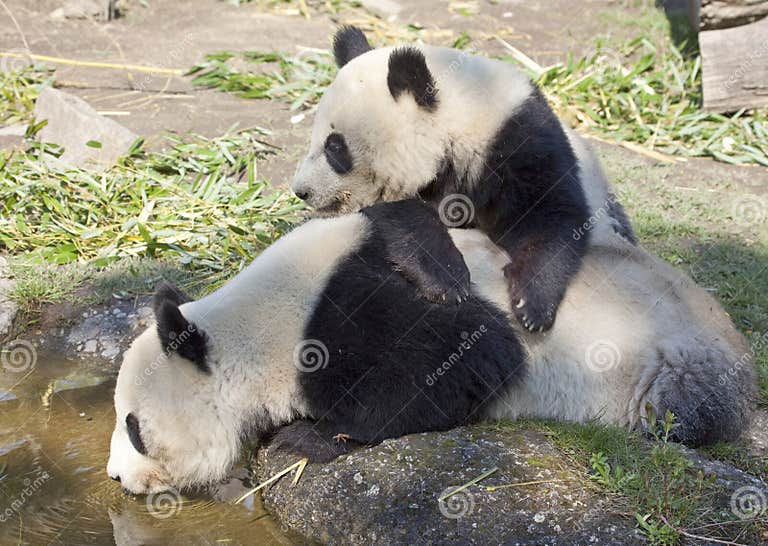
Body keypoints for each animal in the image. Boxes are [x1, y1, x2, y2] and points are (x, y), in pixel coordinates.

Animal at [107, 203, 755, 494]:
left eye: (134, 428)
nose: (115, 476)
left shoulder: (334, 311)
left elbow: (471, 351)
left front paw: (307, 438)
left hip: (672, 362)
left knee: (679, 407)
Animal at [292, 26, 636, 333]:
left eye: (335, 147)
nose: (301, 191)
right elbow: (402, 214)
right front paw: (445, 278)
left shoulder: (521, 140)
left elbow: (551, 214)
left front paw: (533, 304)